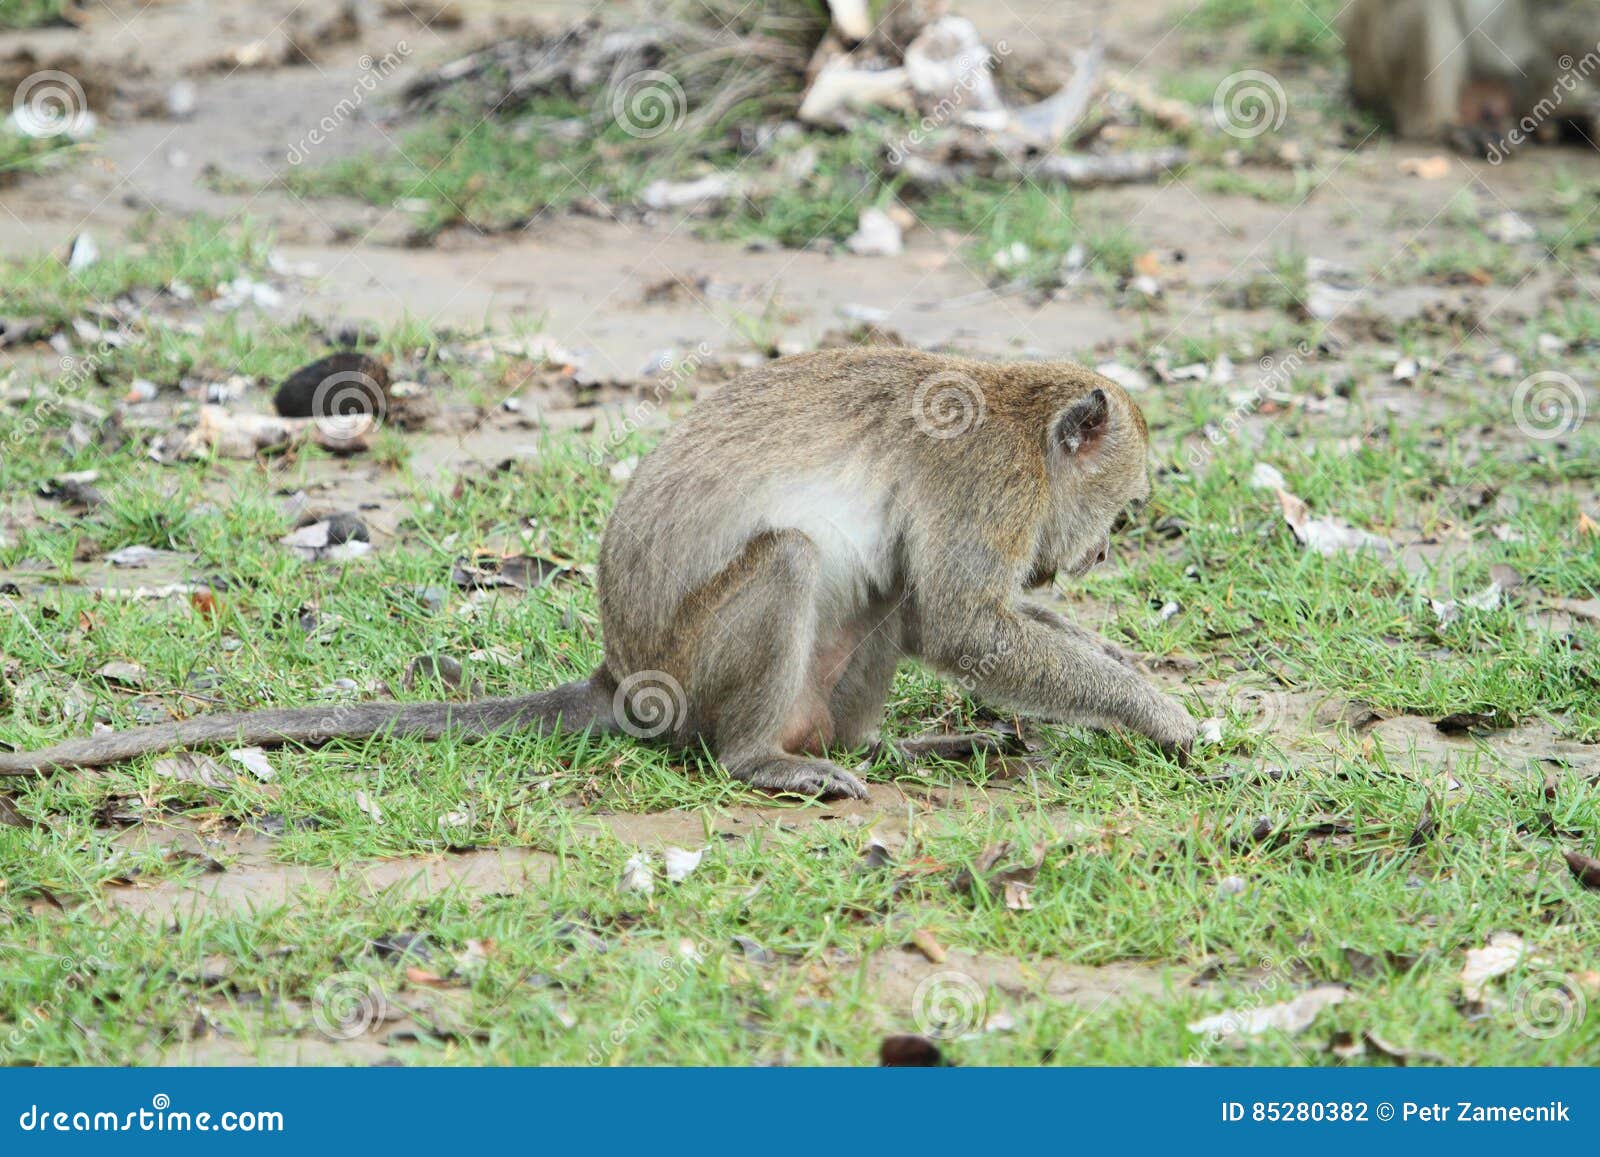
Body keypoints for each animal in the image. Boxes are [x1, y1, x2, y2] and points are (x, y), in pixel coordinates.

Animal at [0, 349, 1196, 799]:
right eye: (1117, 508)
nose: (1082, 555)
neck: (1022, 411)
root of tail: (620, 675)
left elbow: (972, 612)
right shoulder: (989, 481)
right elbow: (965, 621)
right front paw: (1160, 714)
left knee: (882, 589)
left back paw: (875, 746)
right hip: (695, 669)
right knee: (799, 562)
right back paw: (765, 761)